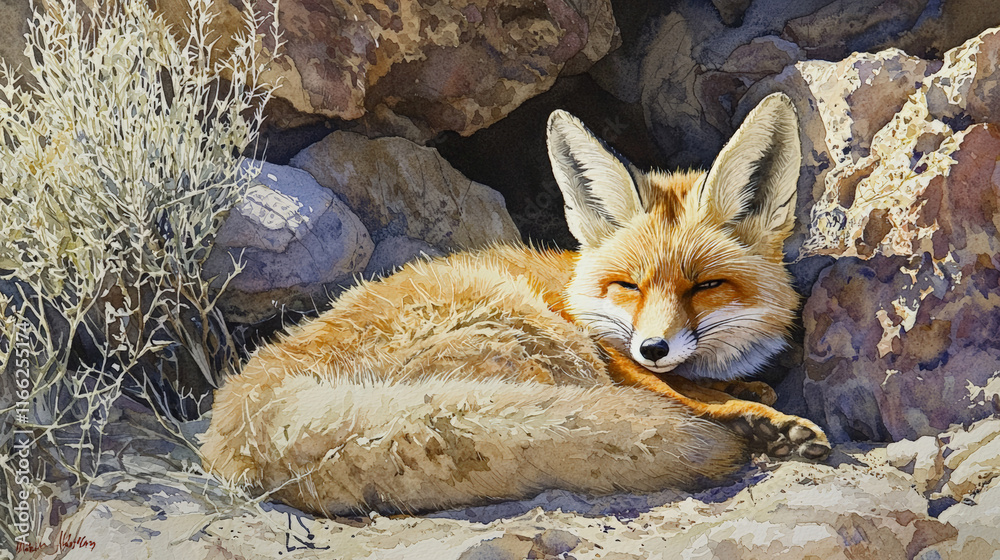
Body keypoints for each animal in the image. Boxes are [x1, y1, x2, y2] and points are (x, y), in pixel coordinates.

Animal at [201, 93, 831, 516]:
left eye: (705, 287)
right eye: (628, 286)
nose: (654, 346)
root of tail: (245, 403)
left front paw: (747, 393)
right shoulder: (613, 356)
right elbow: (680, 393)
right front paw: (754, 414)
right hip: (536, 336)